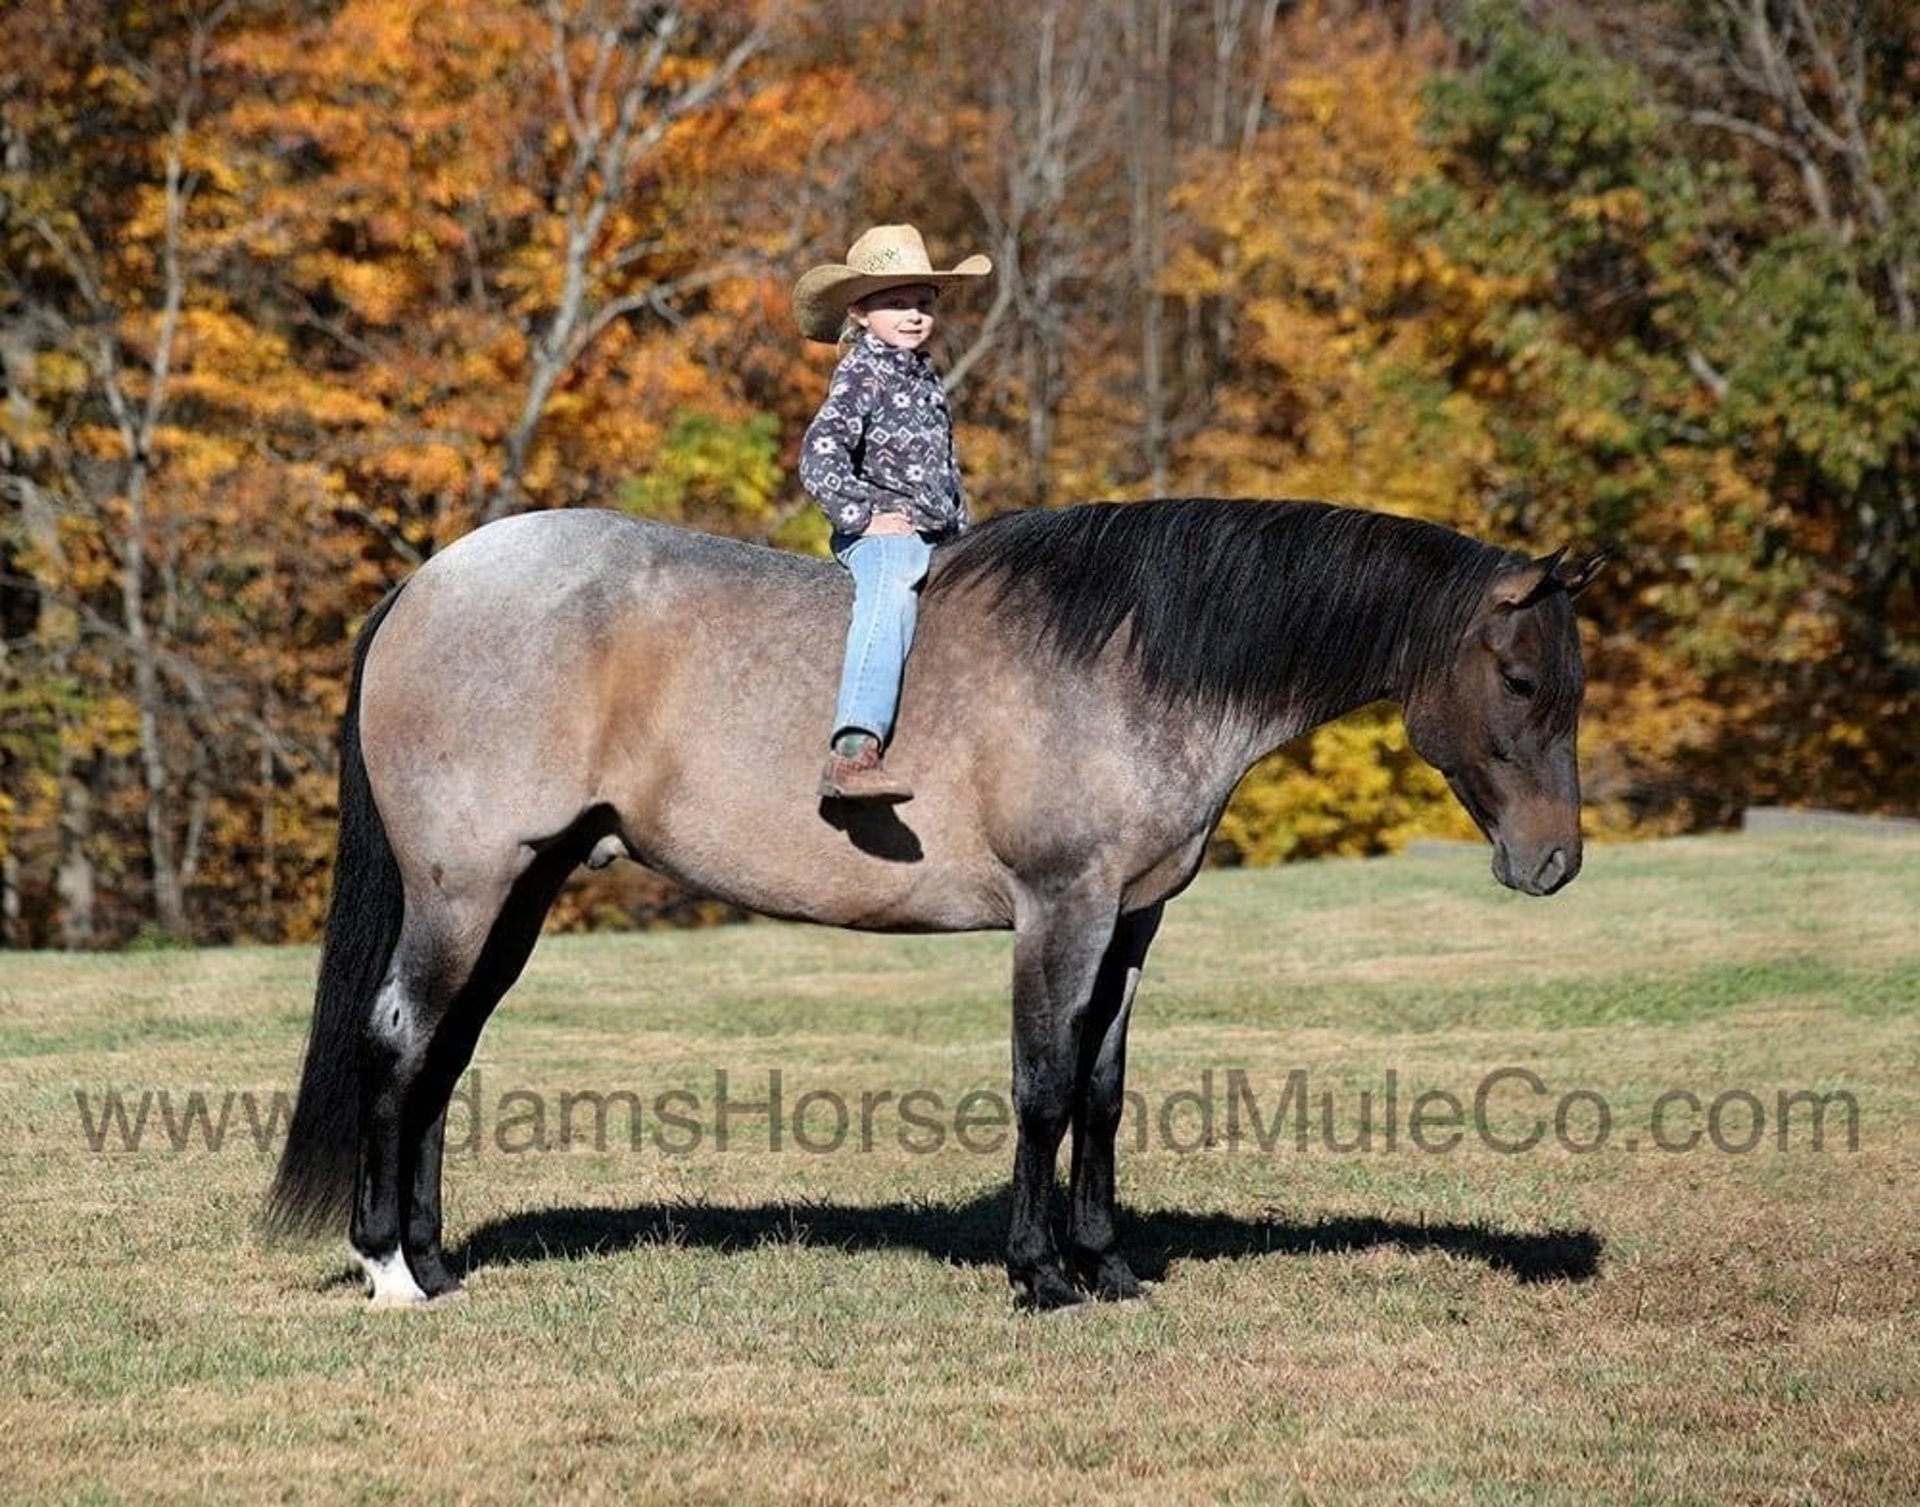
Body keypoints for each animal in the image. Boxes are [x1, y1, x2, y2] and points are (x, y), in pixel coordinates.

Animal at [266, 497, 1604, 1310]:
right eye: (1520, 678)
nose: (1554, 863)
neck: (1130, 660)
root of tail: (429, 583)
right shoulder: (1061, 912)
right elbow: (1042, 1087)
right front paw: (1040, 1276)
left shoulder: (1132, 923)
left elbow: (1103, 1093)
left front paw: (1107, 1266)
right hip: (465, 887)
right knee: (400, 1040)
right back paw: (389, 1268)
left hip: (521, 890)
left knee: (442, 1058)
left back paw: (436, 1260)